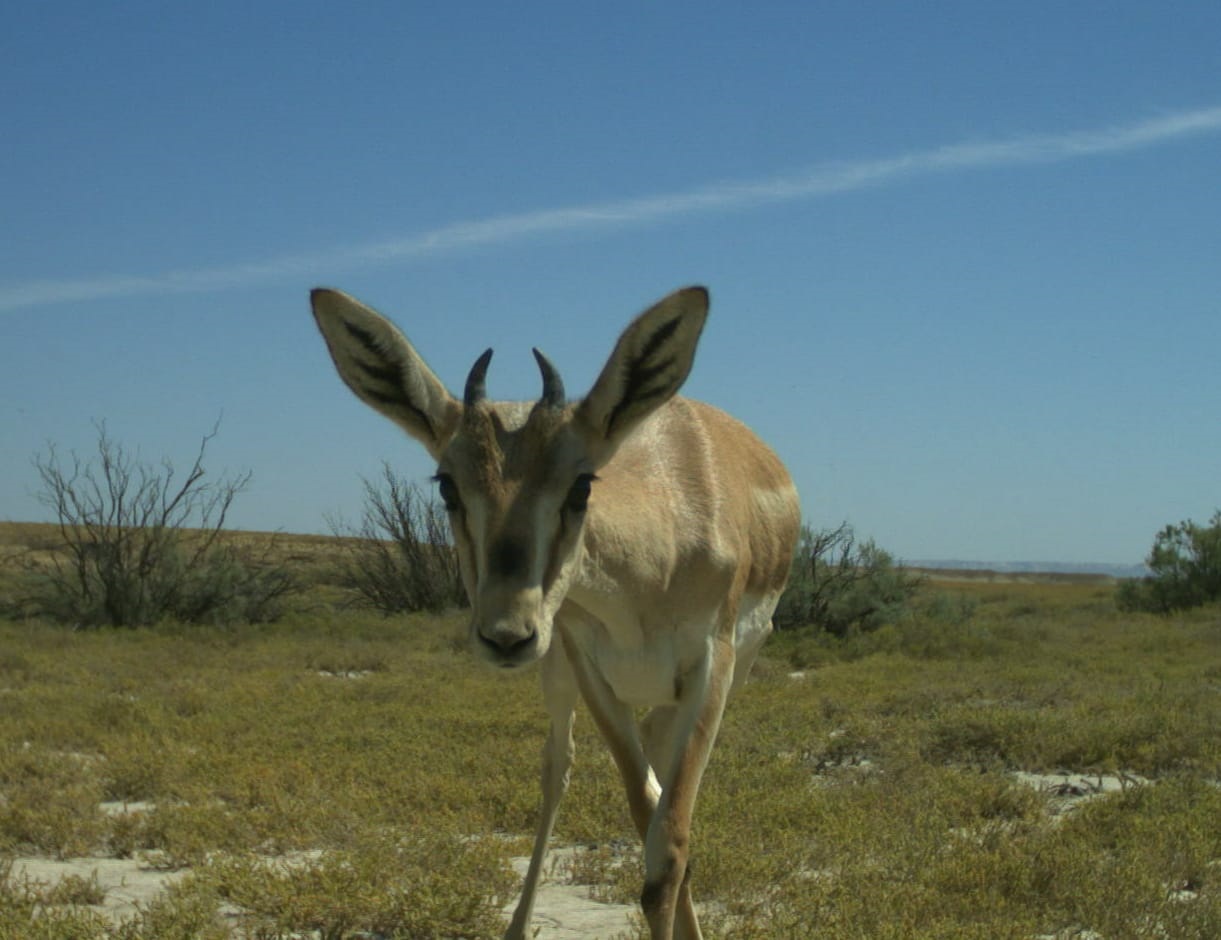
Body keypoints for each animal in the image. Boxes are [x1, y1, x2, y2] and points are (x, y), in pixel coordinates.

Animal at [310, 286, 800, 939]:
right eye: (447, 484)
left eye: (581, 484)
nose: (506, 634)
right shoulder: (588, 666)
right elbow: (646, 822)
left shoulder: (711, 668)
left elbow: (669, 848)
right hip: (559, 673)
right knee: (560, 767)